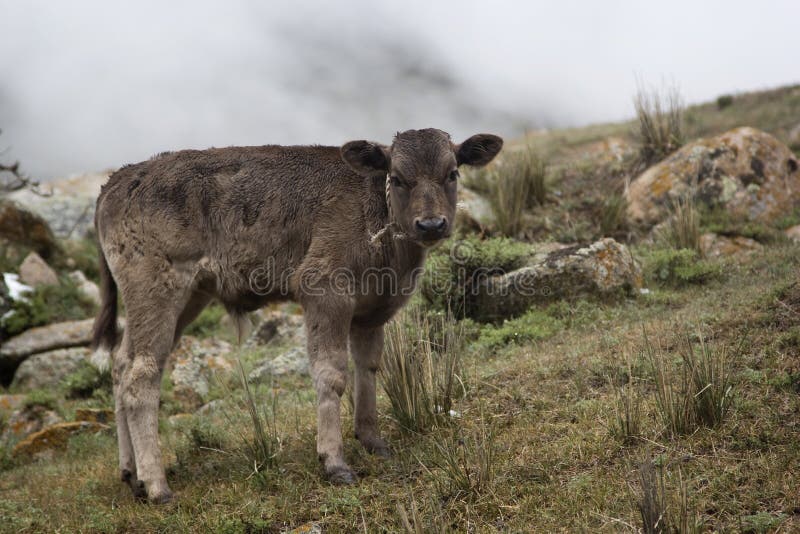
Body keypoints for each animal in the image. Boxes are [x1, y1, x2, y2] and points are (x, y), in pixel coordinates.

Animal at [91, 128, 503, 503]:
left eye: (453, 173)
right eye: (398, 177)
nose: (431, 224)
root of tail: (119, 179)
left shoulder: (372, 311)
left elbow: (368, 367)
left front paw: (373, 440)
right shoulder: (324, 289)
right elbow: (331, 374)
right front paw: (335, 462)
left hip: (188, 298)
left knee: (121, 364)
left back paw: (131, 474)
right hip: (156, 291)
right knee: (141, 377)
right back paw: (157, 486)